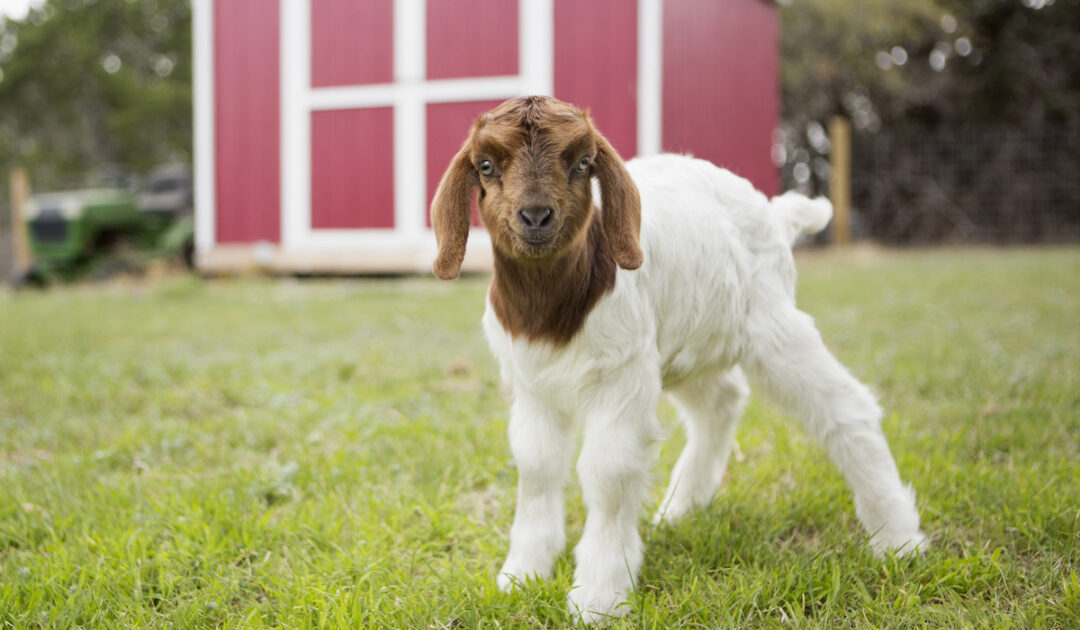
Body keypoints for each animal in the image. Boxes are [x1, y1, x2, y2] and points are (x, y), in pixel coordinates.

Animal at [431, 96, 925, 623]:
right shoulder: (532, 385)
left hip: (770, 325)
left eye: (582, 163)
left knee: (846, 407)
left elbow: (607, 472)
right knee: (723, 401)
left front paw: (599, 596)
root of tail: (775, 213)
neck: (552, 308)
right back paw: (681, 509)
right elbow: (537, 466)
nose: (536, 215)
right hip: (689, 342)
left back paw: (897, 539)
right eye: (486, 165)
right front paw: (521, 575)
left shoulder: (623, 375)